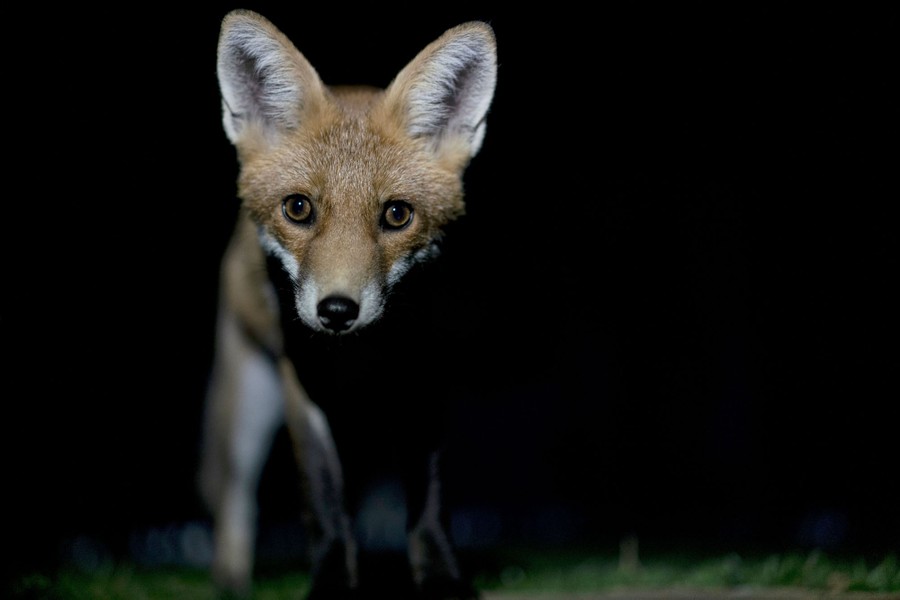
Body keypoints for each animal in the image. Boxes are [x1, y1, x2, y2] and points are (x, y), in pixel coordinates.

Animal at [198, 9, 497, 600]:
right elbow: (324, 504)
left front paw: (442, 578)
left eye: (397, 215)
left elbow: (428, 501)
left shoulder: (423, 378)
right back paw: (232, 580)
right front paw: (333, 583)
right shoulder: (302, 384)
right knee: (236, 495)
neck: (363, 352)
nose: (337, 311)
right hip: (249, 403)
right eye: (298, 208)